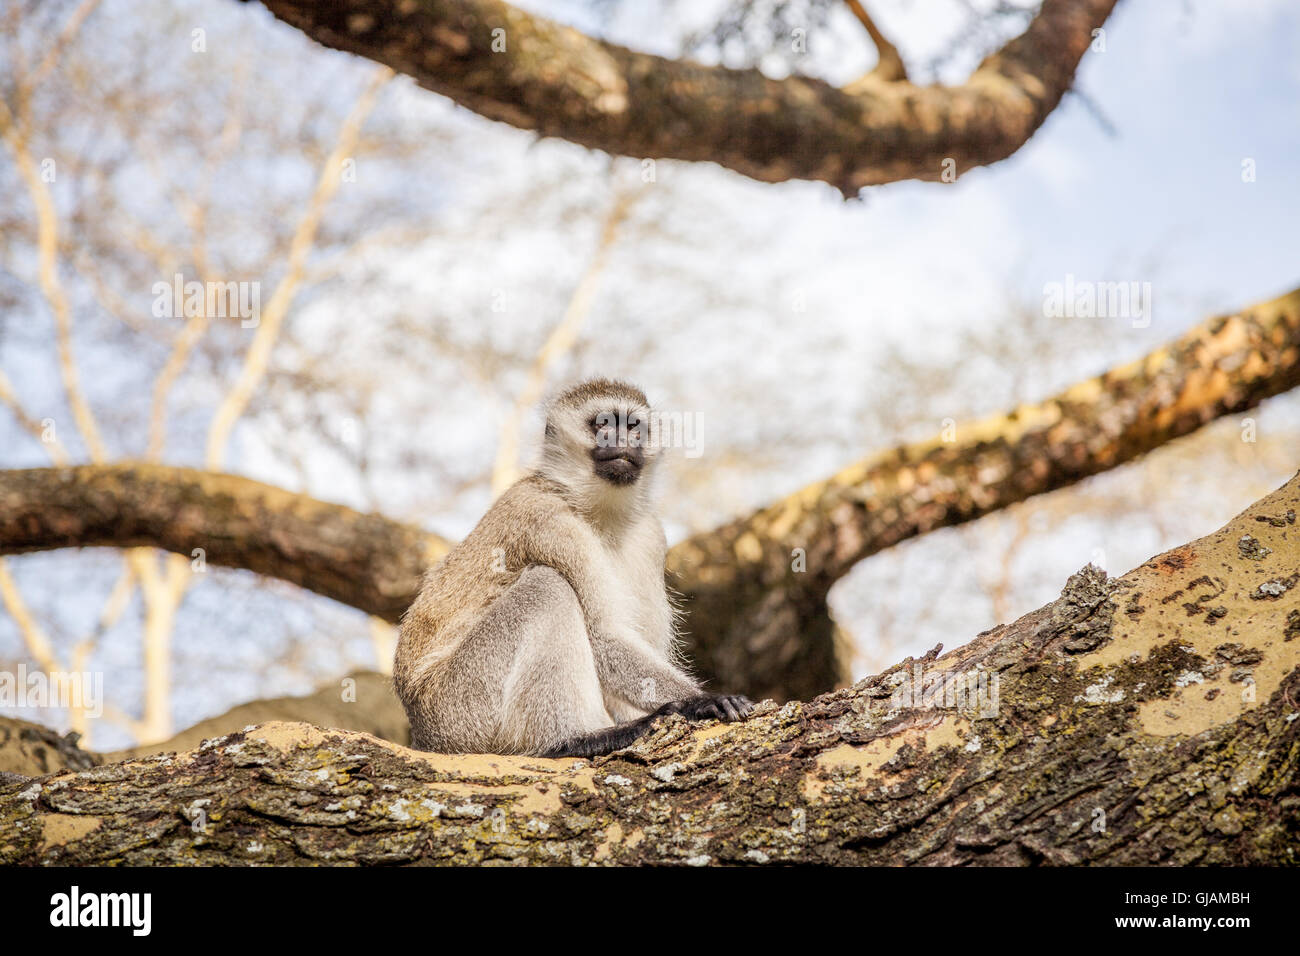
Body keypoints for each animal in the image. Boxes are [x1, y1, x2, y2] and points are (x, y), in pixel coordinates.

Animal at [393, 378, 753, 758]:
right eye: (604, 424)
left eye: (634, 426)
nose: (623, 440)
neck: (598, 510)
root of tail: (423, 735)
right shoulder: (548, 521)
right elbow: (603, 633)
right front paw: (698, 701)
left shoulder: (650, 536)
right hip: (462, 705)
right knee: (547, 586)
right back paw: (573, 739)